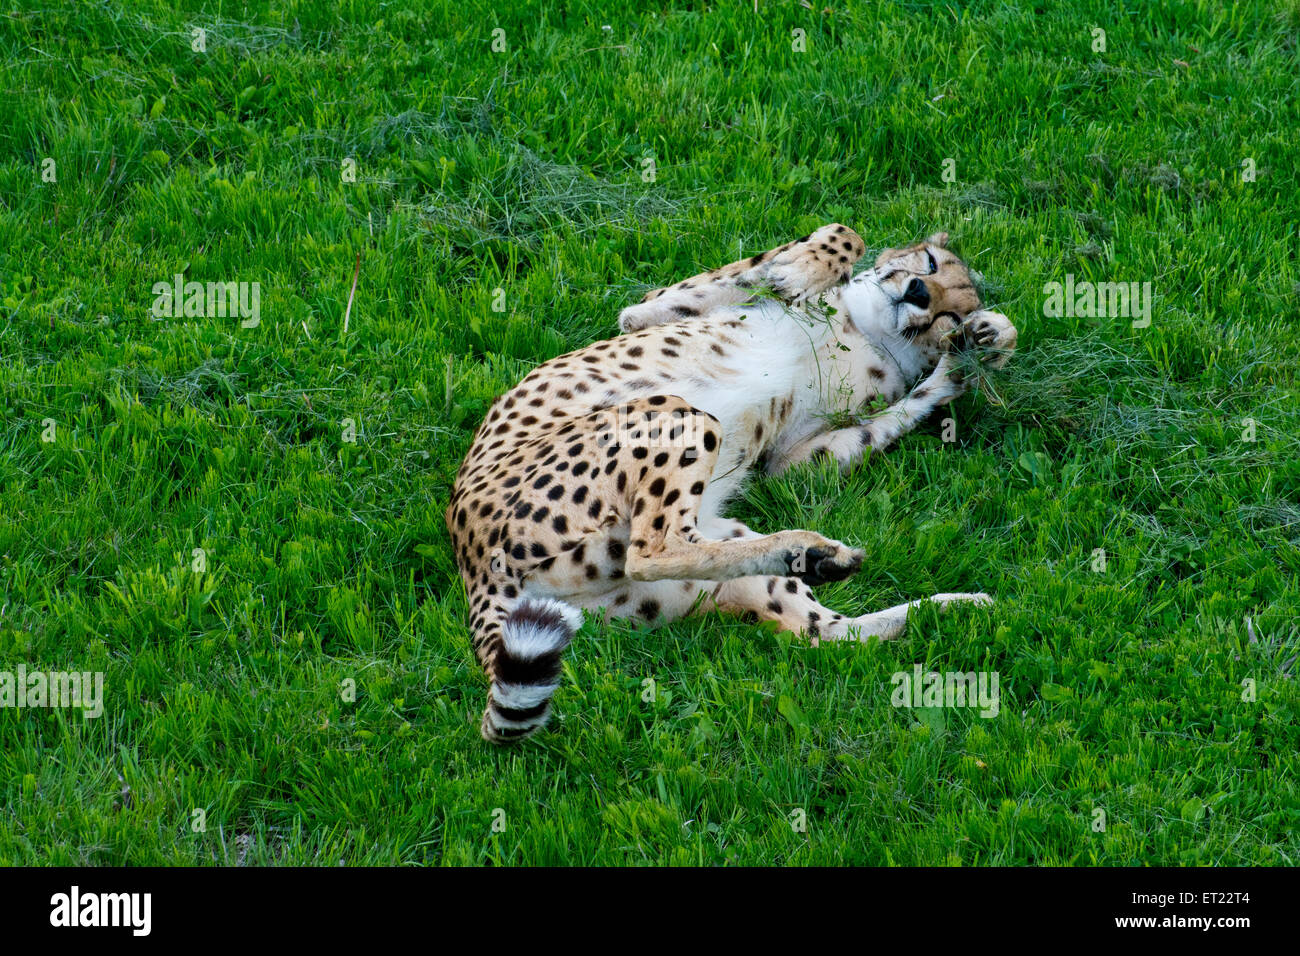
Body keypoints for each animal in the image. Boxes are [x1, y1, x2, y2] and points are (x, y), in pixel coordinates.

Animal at [445, 224, 1017, 742]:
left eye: (948, 314)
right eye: (929, 264)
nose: (918, 292)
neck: (864, 327)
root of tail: (472, 565)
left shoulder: (796, 461)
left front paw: (978, 351)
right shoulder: (648, 310)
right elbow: (835, 234)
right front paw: (806, 267)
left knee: (807, 623)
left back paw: (926, 596)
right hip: (673, 421)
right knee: (666, 553)